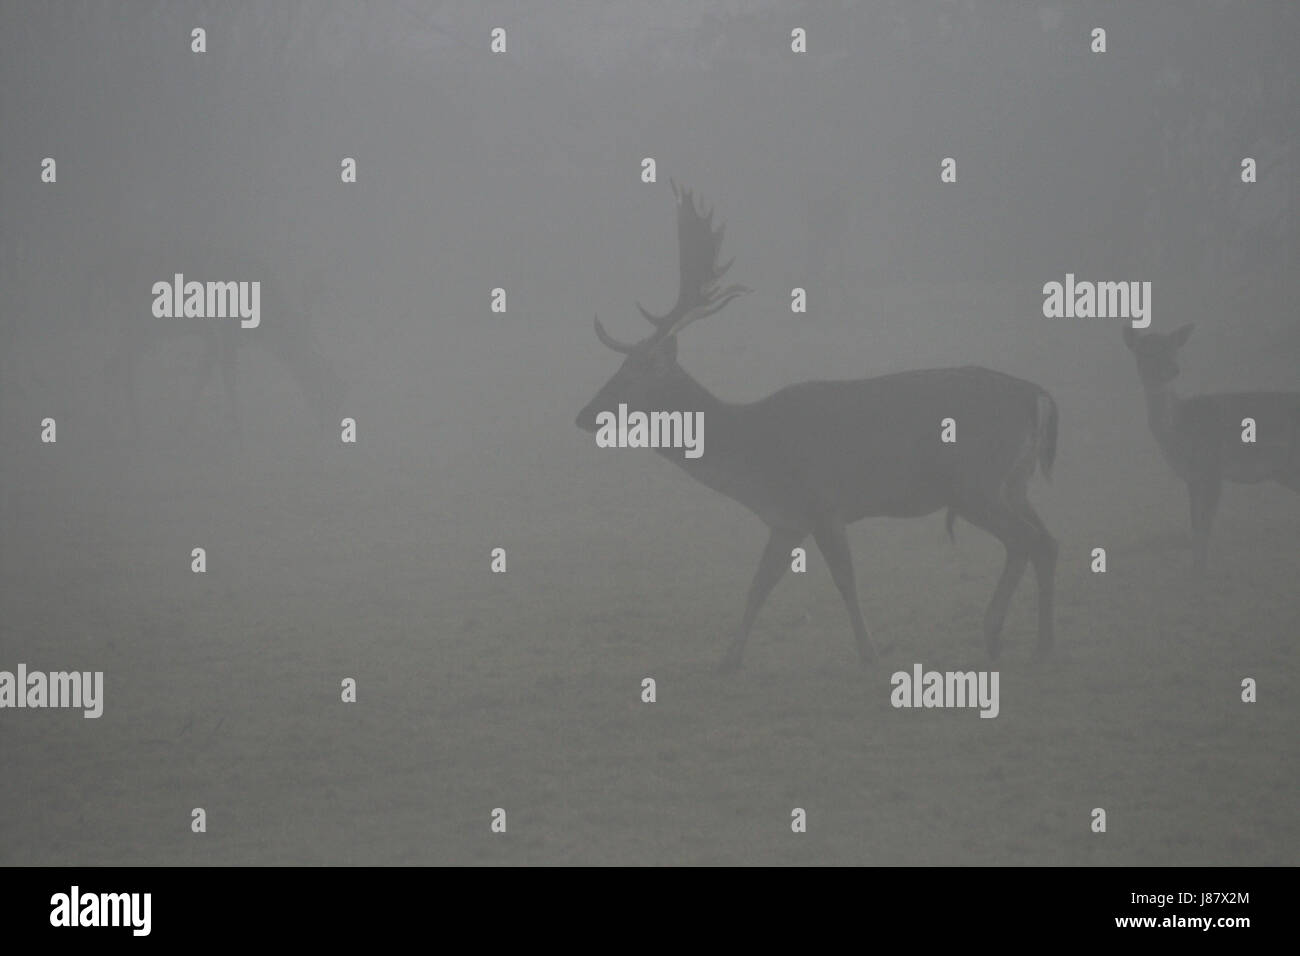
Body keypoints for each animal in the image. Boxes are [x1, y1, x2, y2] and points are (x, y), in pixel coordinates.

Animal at [97, 241, 346, 444]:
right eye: (330, 389)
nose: (331, 428)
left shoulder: (220, 338)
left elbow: (209, 374)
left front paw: (186, 427)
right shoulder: (225, 333)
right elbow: (226, 378)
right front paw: (237, 432)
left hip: (144, 330)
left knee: (113, 363)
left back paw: (117, 428)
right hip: (142, 324)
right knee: (121, 363)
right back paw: (133, 428)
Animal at [577, 183, 1059, 672]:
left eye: (635, 372)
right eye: (619, 366)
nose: (584, 415)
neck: (753, 462)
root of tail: (1037, 396)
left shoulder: (824, 503)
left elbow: (844, 579)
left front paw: (870, 652)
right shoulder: (787, 519)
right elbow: (759, 584)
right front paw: (730, 658)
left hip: (975, 482)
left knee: (1029, 540)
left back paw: (1011, 639)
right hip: (1013, 482)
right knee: (1047, 540)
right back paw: (1028, 642)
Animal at [1123, 322, 1300, 575]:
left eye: (1174, 349)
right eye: (1145, 351)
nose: (1173, 369)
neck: (1178, 433)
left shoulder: (1213, 468)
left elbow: (1205, 526)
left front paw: (1201, 573)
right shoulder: (1193, 476)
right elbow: (1195, 524)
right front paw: (1195, 569)